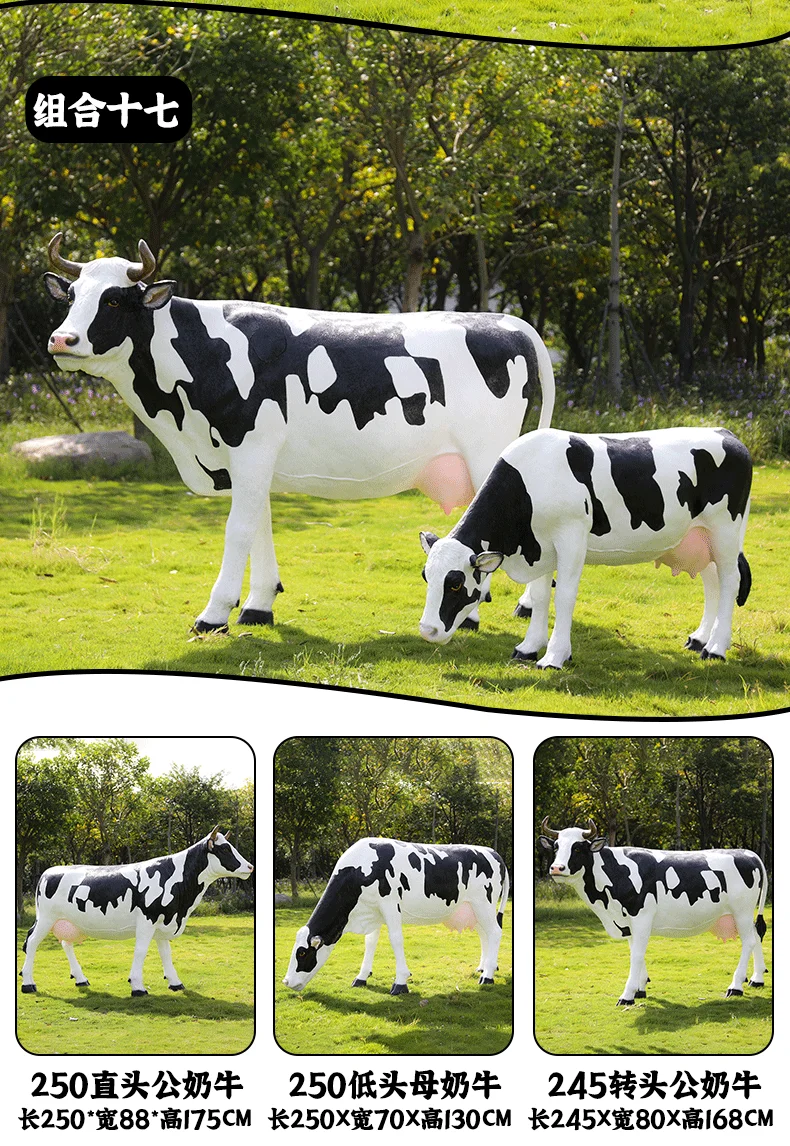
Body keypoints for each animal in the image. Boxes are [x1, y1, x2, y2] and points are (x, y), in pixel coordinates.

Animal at [20, 827, 253, 997]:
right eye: (225, 849)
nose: (250, 866)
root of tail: (50, 871)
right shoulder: (147, 920)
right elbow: (141, 951)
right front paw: (138, 986)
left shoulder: (164, 922)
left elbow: (166, 953)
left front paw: (175, 983)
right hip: (46, 918)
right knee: (31, 942)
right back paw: (28, 983)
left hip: (68, 922)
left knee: (65, 943)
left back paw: (81, 979)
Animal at [44, 234, 555, 633]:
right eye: (70, 297)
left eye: (113, 299)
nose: (61, 339)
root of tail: (502, 320)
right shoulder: (252, 462)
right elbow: (260, 525)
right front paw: (258, 606)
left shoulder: (250, 448)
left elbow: (238, 529)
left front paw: (214, 613)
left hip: (492, 456)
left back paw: (508, 611)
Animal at [282, 838, 509, 995]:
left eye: (302, 953)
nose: (286, 981)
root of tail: (492, 851)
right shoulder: (373, 909)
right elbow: (370, 942)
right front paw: (362, 977)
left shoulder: (389, 903)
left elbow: (396, 939)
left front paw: (400, 982)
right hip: (473, 908)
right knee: (484, 934)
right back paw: (483, 967)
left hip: (484, 903)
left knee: (495, 933)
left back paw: (488, 975)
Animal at [419, 426, 752, 667]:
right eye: (426, 577)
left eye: (455, 583)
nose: (427, 629)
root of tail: (726, 433)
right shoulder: (540, 545)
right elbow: (540, 597)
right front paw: (528, 647)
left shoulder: (571, 536)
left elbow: (564, 597)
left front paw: (554, 656)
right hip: (699, 539)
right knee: (713, 583)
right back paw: (699, 639)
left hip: (725, 530)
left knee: (730, 581)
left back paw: (716, 648)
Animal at [538, 819, 768, 1005]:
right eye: (556, 847)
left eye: (578, 848)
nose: (556, 868)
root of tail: (747, 853)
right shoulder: (626, 921)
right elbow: (634, 951)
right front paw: (640, 988)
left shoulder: (641, 916)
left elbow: (637, 954)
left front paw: (628, 995)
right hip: (743, 914)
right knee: (756, 935)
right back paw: (756, 979)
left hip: (742, 910)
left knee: (749, 941)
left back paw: (735, 986)